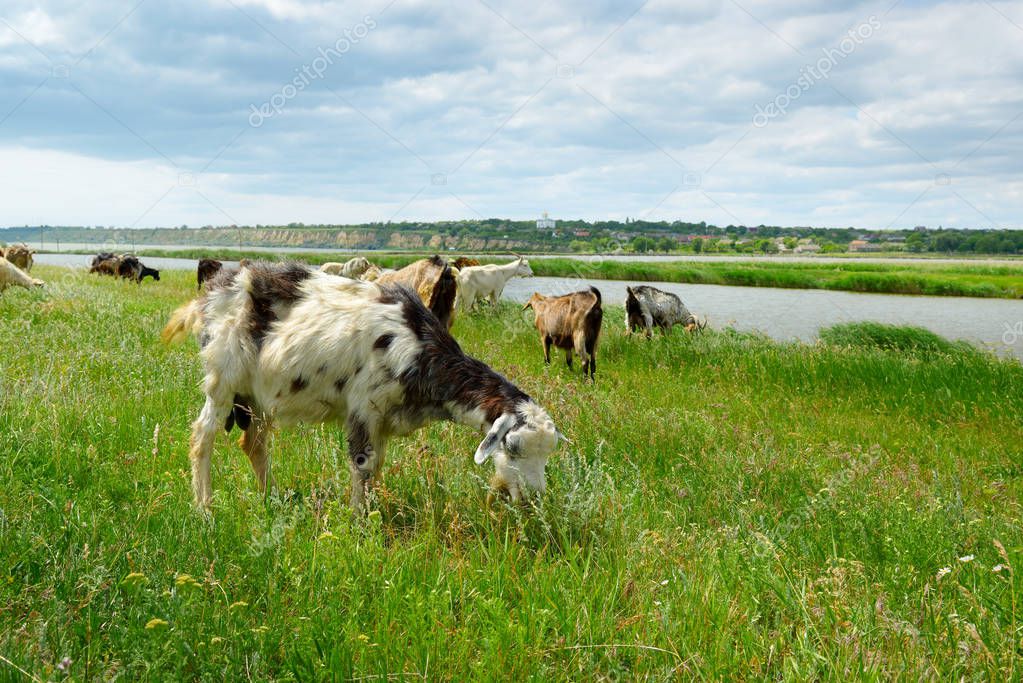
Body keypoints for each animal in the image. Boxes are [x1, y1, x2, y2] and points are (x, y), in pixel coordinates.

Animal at [161, 260, 561, 511]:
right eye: (511, 446)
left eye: (549, 452)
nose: (533, 497)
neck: (418, 346)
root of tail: (214, 289)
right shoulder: (364, 408)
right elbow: (363, 465)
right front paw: (360, 526)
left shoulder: (382, 420)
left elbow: (376, 468)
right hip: (223, 376)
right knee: (202, 435)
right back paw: (204, 507)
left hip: (257, 395)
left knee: (254, 443)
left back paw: (268, 499)